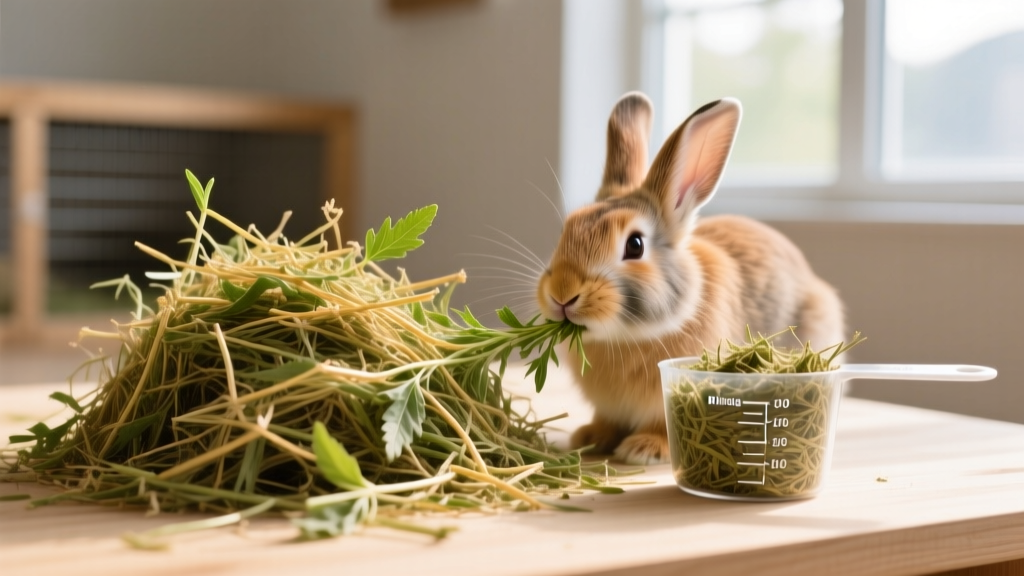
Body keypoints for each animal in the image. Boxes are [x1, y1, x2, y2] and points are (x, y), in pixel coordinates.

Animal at [535, 92, 846, 465]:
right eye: (566, 231)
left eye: (635, 245)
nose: (562, 294)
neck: (626, 337)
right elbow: (606, 420)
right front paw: (590, 438)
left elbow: (663, 424)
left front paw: (644, 449)